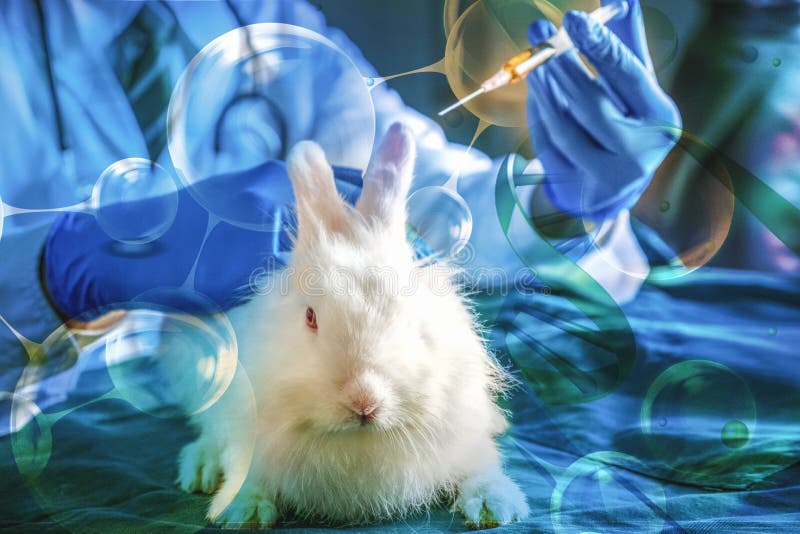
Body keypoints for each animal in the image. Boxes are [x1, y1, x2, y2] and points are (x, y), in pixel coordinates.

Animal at [176, 122, 529, 529]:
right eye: (310, 317)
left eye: (411, 318)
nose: (365, 401)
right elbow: (245, 468)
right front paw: (242, 510)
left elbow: (482, 465)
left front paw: (494, 505)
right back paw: (200, 468)